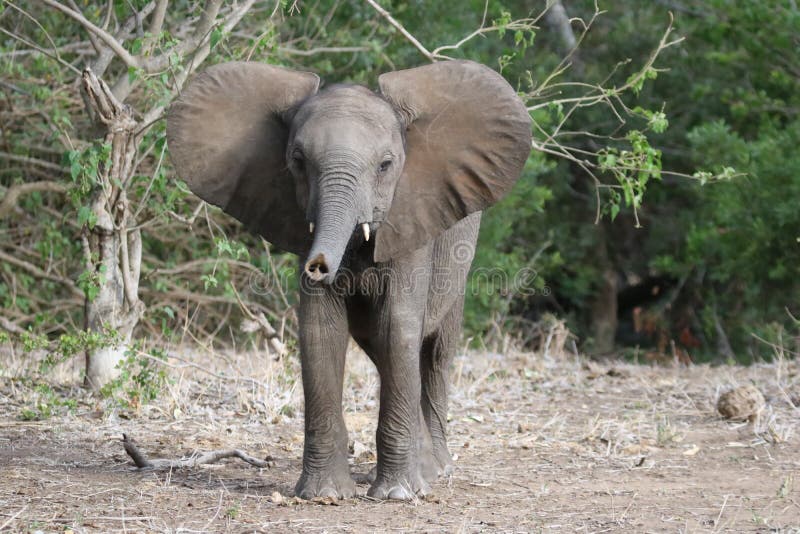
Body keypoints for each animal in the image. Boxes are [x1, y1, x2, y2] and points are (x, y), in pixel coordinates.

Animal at [166, 59, 531, 500]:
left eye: (386, 165)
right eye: (298, 161)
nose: (319, 266)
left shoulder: (412, 218)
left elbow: (397, 325)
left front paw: (396, 495)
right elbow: (321, 329)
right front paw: (324, 495)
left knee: (434, 353)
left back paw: (435, 470)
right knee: (380, 348)